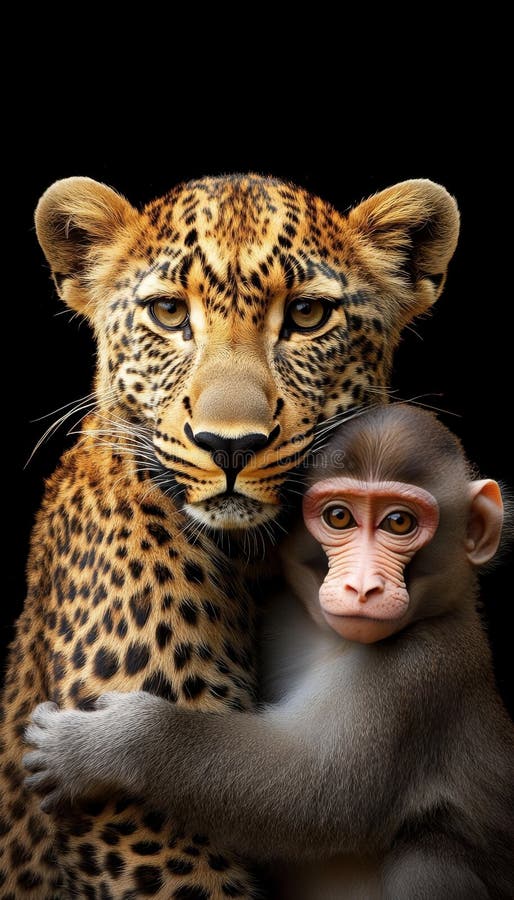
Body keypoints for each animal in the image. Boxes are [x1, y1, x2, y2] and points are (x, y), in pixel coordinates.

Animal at [24, 405, 514, 899]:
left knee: (427, 856)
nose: (362, 587)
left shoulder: (420, 673)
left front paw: (105, 743)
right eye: (339, 517)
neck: (332, 638)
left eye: (399, 523)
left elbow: (316, 793)